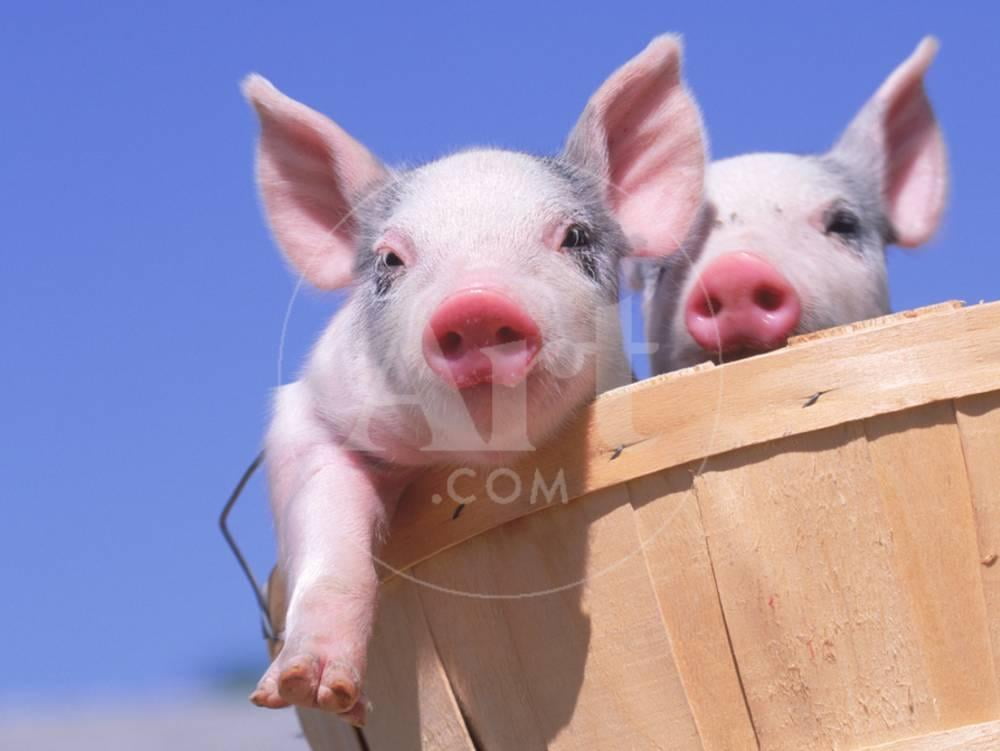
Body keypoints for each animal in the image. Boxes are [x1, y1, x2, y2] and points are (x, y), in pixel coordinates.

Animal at [242, 35, 706, 724]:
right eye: (389, 259)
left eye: (575, 237)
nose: (477, 303)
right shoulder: (314, 412)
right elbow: (328, 526)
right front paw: (310, 692)